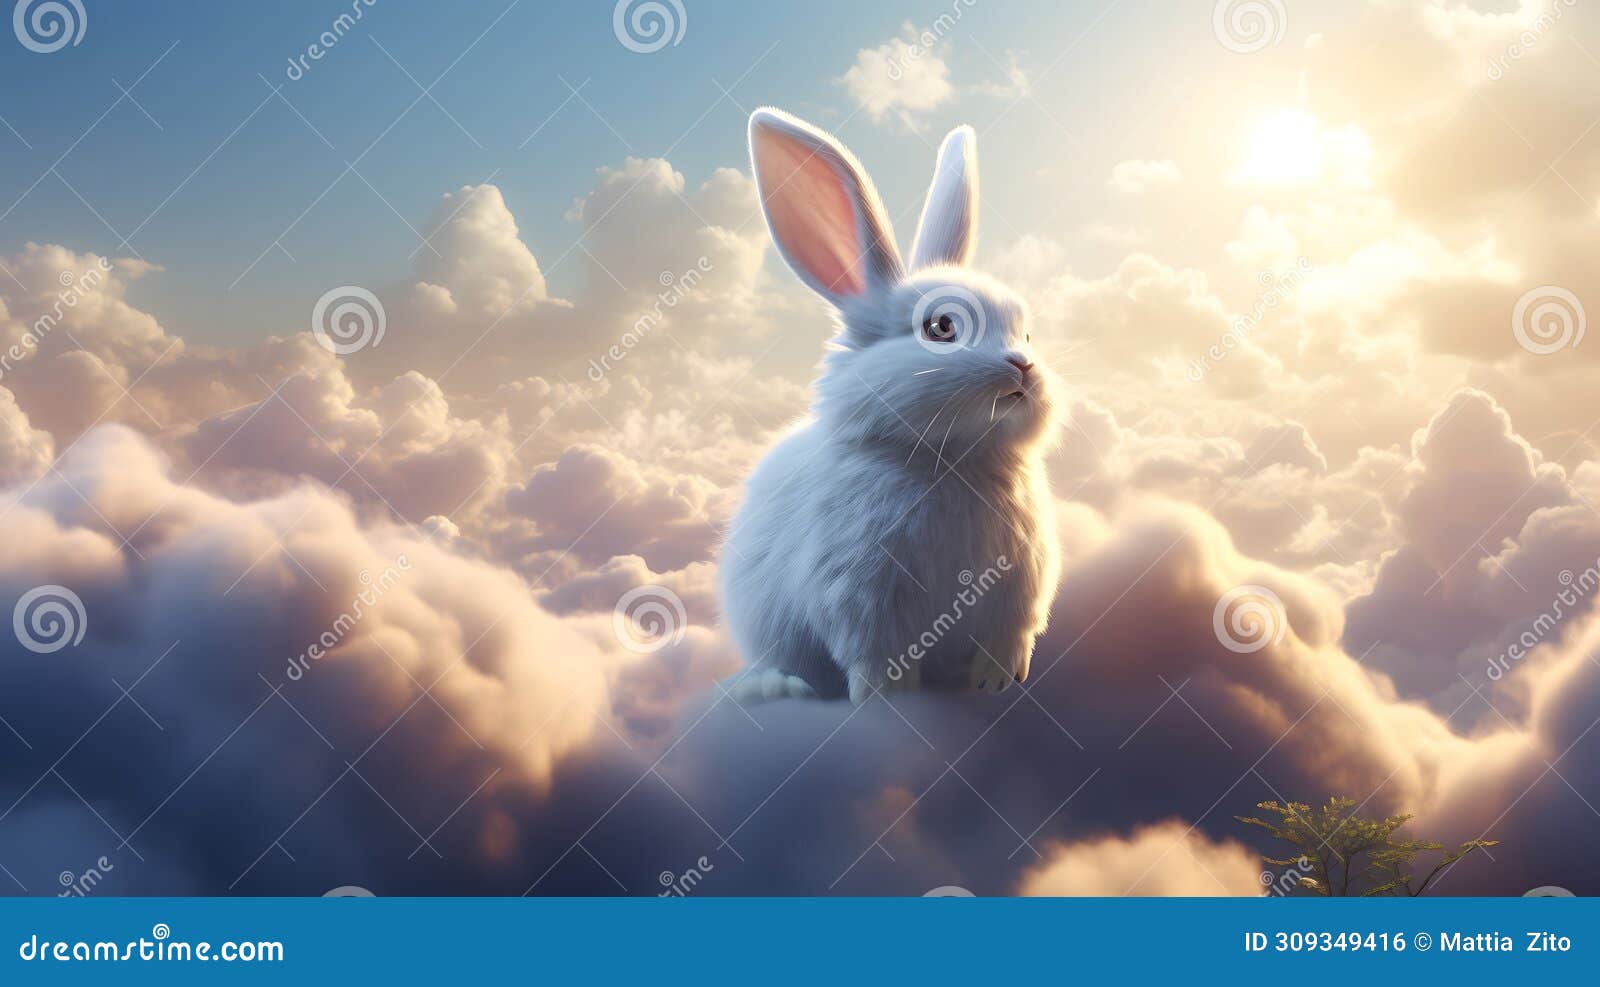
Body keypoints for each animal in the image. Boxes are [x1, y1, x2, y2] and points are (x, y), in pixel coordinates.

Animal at [718, 107, 1062, 705]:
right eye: (941, 326)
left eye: (1026, 332)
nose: (1023, 367)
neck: (953, 460)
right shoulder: (859, 592)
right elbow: (879, 655)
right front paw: (889, 699)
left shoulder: (1020, 585)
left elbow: (1008, 638)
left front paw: (994, 685)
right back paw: (777, 686)